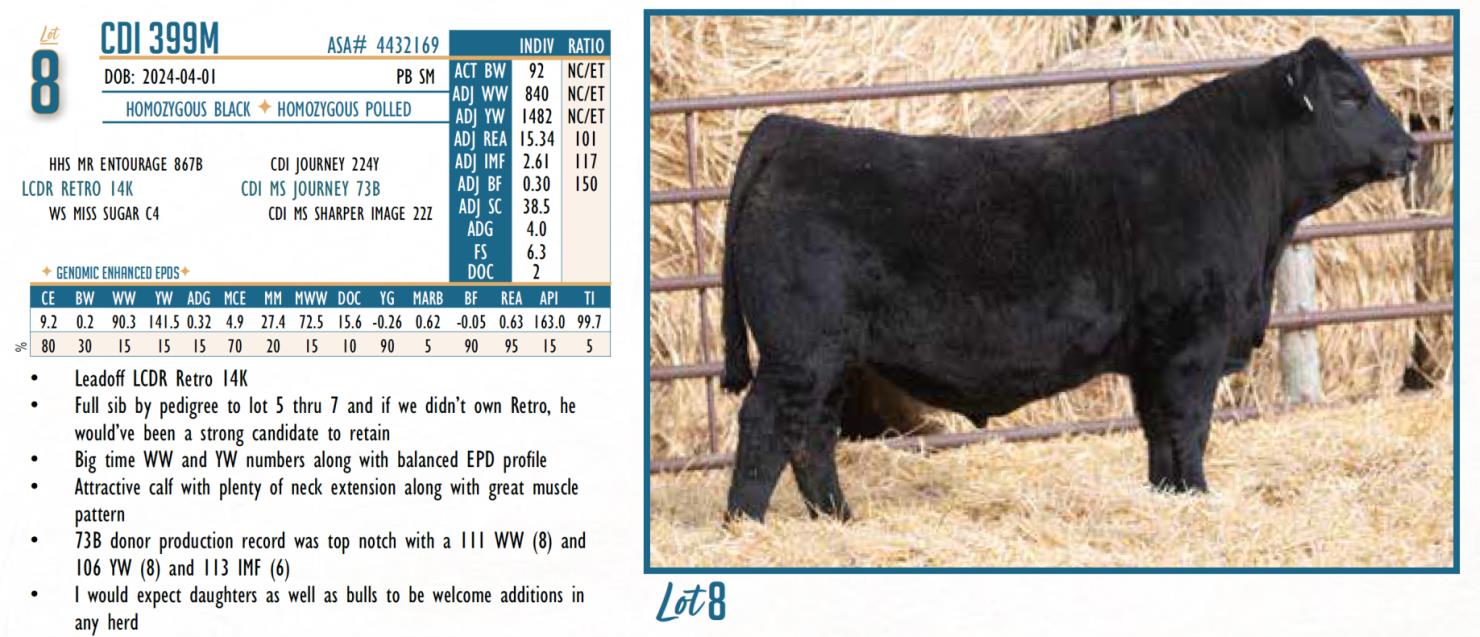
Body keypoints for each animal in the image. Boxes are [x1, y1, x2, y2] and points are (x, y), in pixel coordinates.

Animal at [718, 38, 1420, 522]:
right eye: (1349, 96)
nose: (1411, 149)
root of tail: (791, 129)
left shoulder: (1153, 355)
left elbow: (1158, 431)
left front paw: (1168, 497)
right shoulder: (1191, 343)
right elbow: (1189, 425)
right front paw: (1197, 497)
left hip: (830, 356)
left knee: (811, 433)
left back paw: (837, 520)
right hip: (800, 350)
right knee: (766, 426)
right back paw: (746, 526)